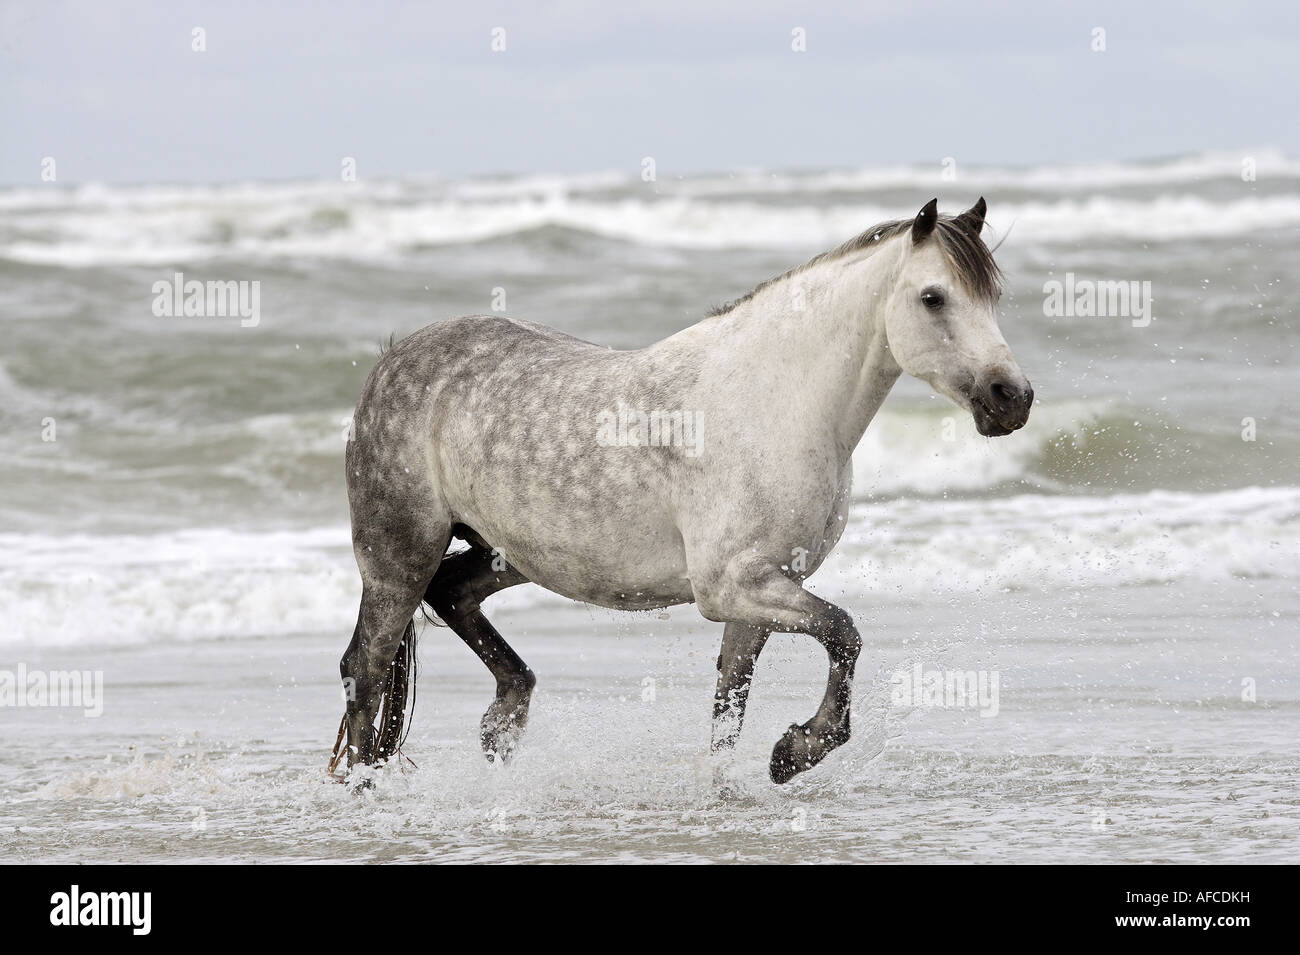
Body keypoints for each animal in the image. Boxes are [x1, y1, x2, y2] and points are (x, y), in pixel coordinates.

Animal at [332, 197, 1033, 786]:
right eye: (933, 298)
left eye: (992, 297)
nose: (1012, 398)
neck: (777, 401)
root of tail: (391, 361)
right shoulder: (731, 587)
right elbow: (844, 632)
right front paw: (798, 750)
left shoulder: (766, 589)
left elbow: (730, 708)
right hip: (400, 555)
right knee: (367, 670)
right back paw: (369, 793)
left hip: (512, 553)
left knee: (450, 596)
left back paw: (503, 721)